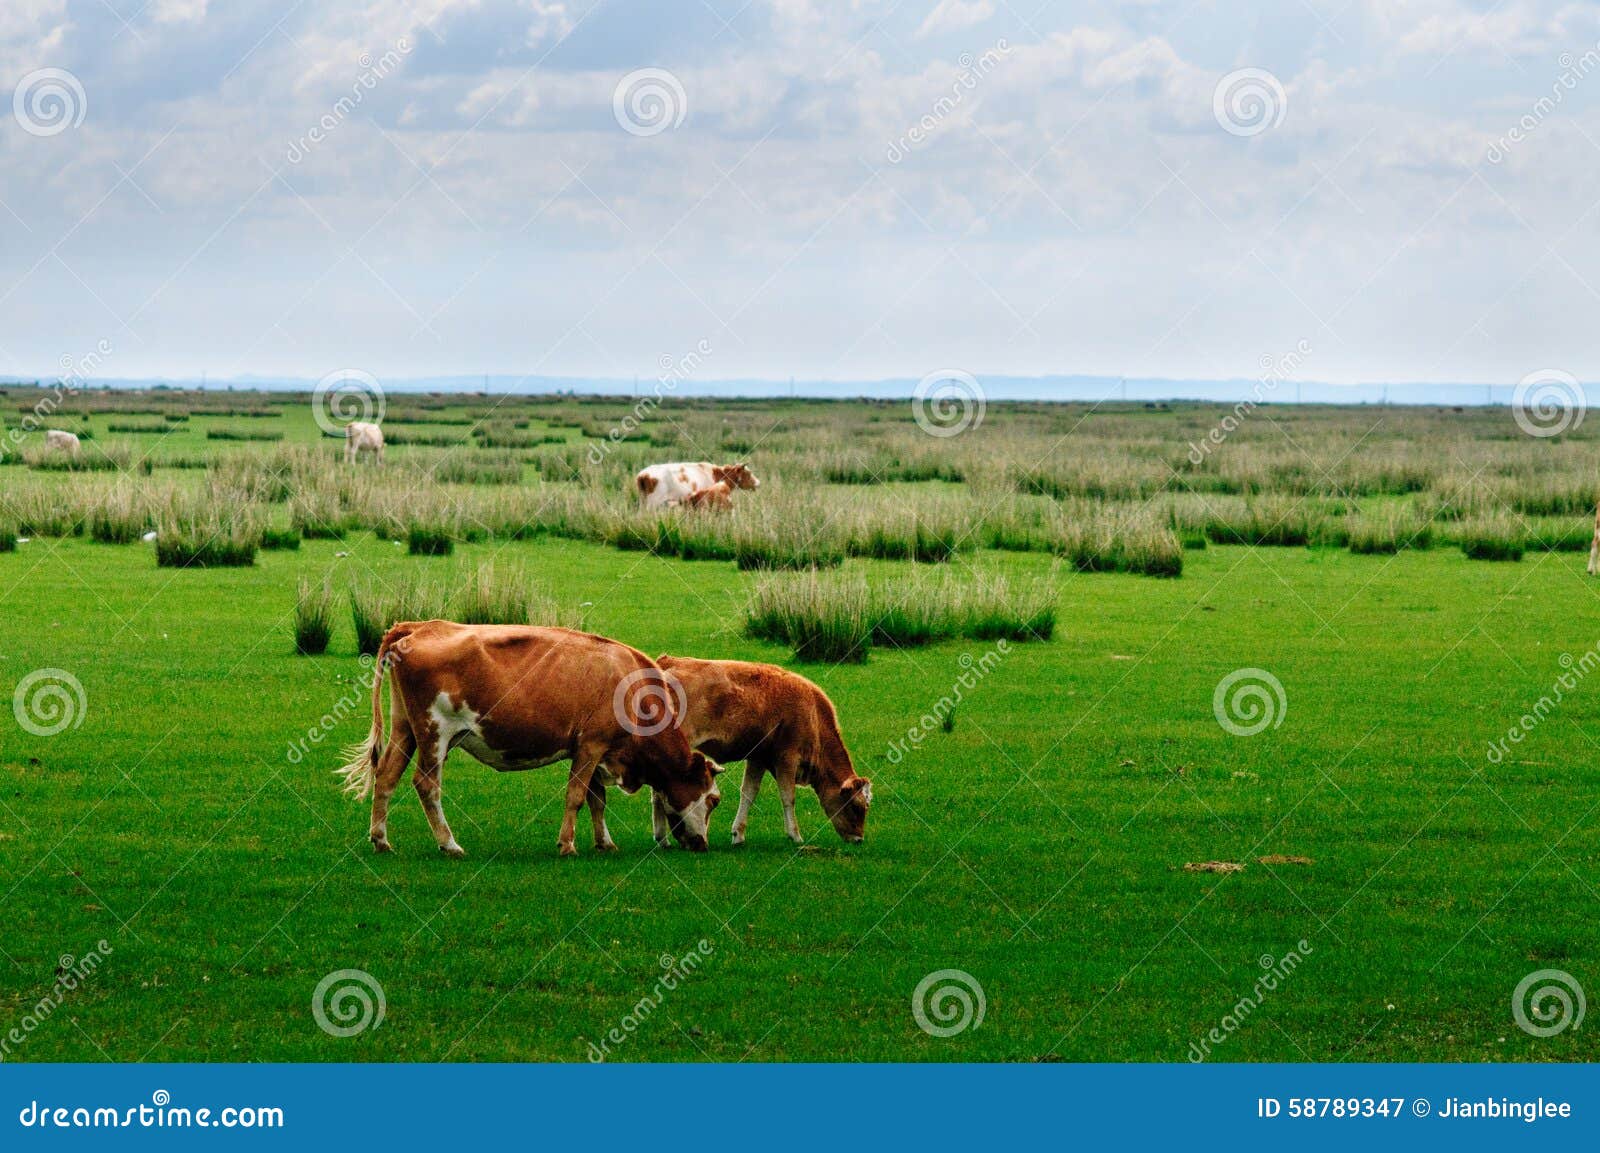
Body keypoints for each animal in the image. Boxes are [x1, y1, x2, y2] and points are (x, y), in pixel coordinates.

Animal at [336, 621, 723, 857]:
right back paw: (449, 844)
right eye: (713, 799)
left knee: (387, 776)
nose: (702, 844)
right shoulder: (591, 745)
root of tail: (418, 626)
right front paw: (567, 845)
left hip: (405, 729)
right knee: (426, 784)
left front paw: (604, 842)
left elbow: (596, 800)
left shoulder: (595, 751)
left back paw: (381, 840)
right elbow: (576, 796)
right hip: (435, 732)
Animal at [654, 656, 872, 845]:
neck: (813, 714)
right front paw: (795, 835)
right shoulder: (787, 757)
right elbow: (788, 796)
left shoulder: (757, 757)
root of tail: (667, 661)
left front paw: (738, 835)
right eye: (856, 806)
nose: (858, 839)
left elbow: (749, 792)